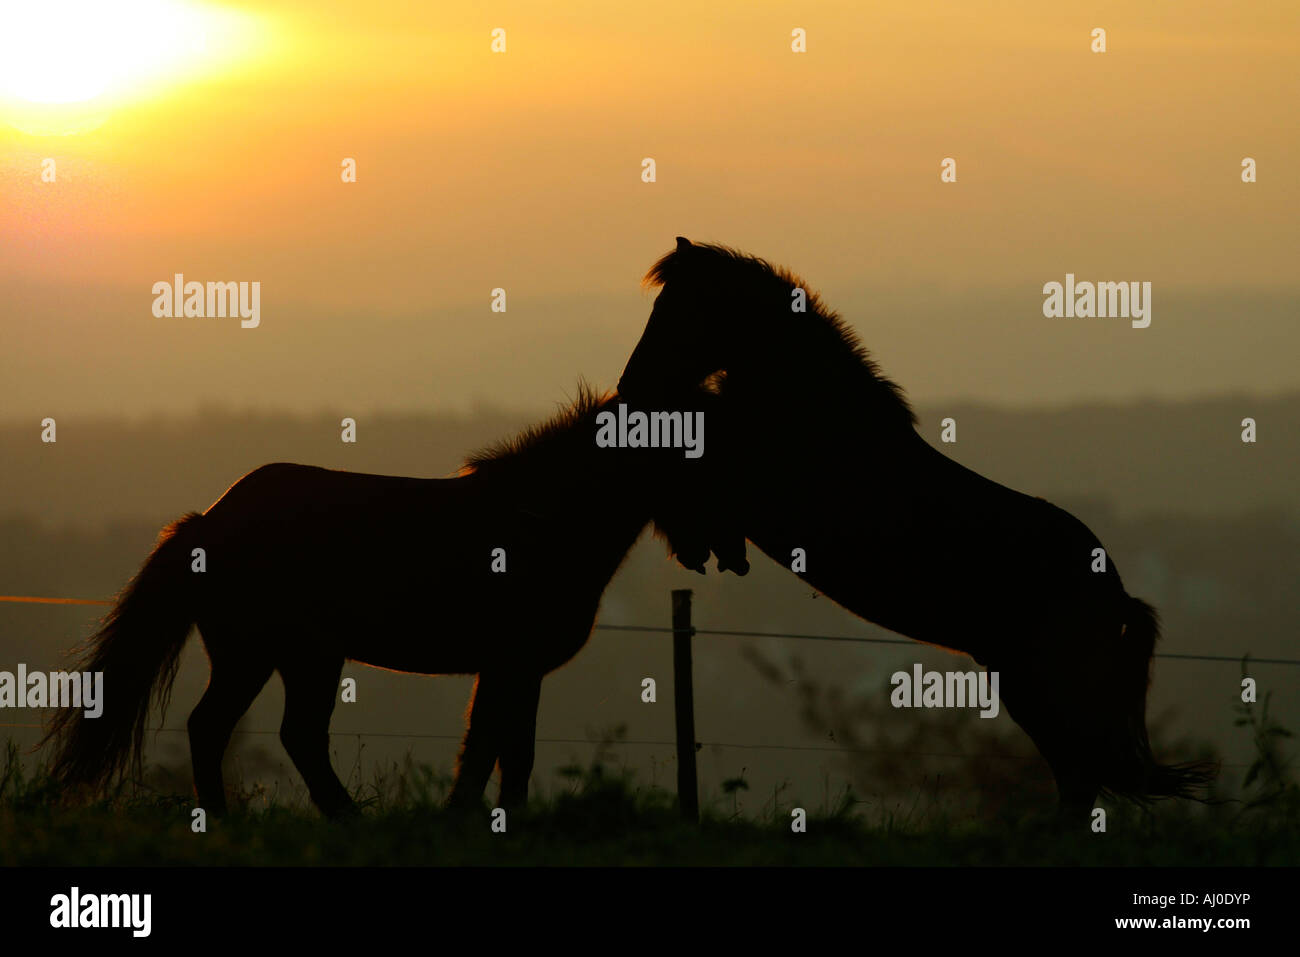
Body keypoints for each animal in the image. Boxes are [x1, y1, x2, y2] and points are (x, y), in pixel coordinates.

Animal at [42, 384, 721, 818]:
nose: (715, 548)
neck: (543, 523)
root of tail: (208, 521)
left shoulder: (510, 670)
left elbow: (495, 748)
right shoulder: (515, 663)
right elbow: (502, 750)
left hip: (265, 658)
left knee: (226, 729)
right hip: (288, 656)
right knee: (273, 733)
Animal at [618, 237, 1217, 817]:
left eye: (680, 309)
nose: (629, 386)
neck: (815, 412)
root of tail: (1115, 593)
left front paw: (700, 544)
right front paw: (709, 548)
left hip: (1041, 687)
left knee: (1080, 775)